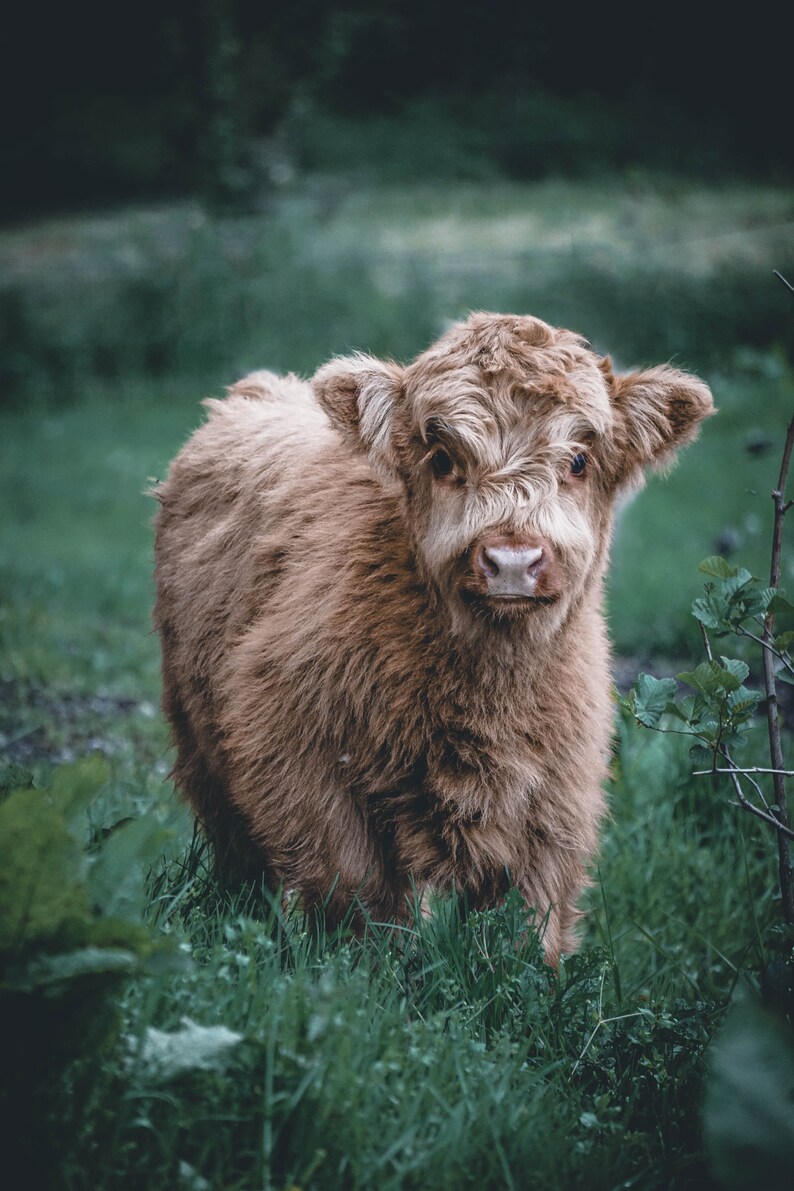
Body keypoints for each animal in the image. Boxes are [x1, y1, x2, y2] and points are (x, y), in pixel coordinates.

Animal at [152, 312, 713, 964]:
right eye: (443, 458)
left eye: (578, 460)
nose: (512, 560)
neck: (485, 695)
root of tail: (260, 388)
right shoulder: (296, 751)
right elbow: (357, 888)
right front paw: (368, 967)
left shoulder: (559, 790)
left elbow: (529, 921)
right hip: (200, 742)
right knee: (238, 857)